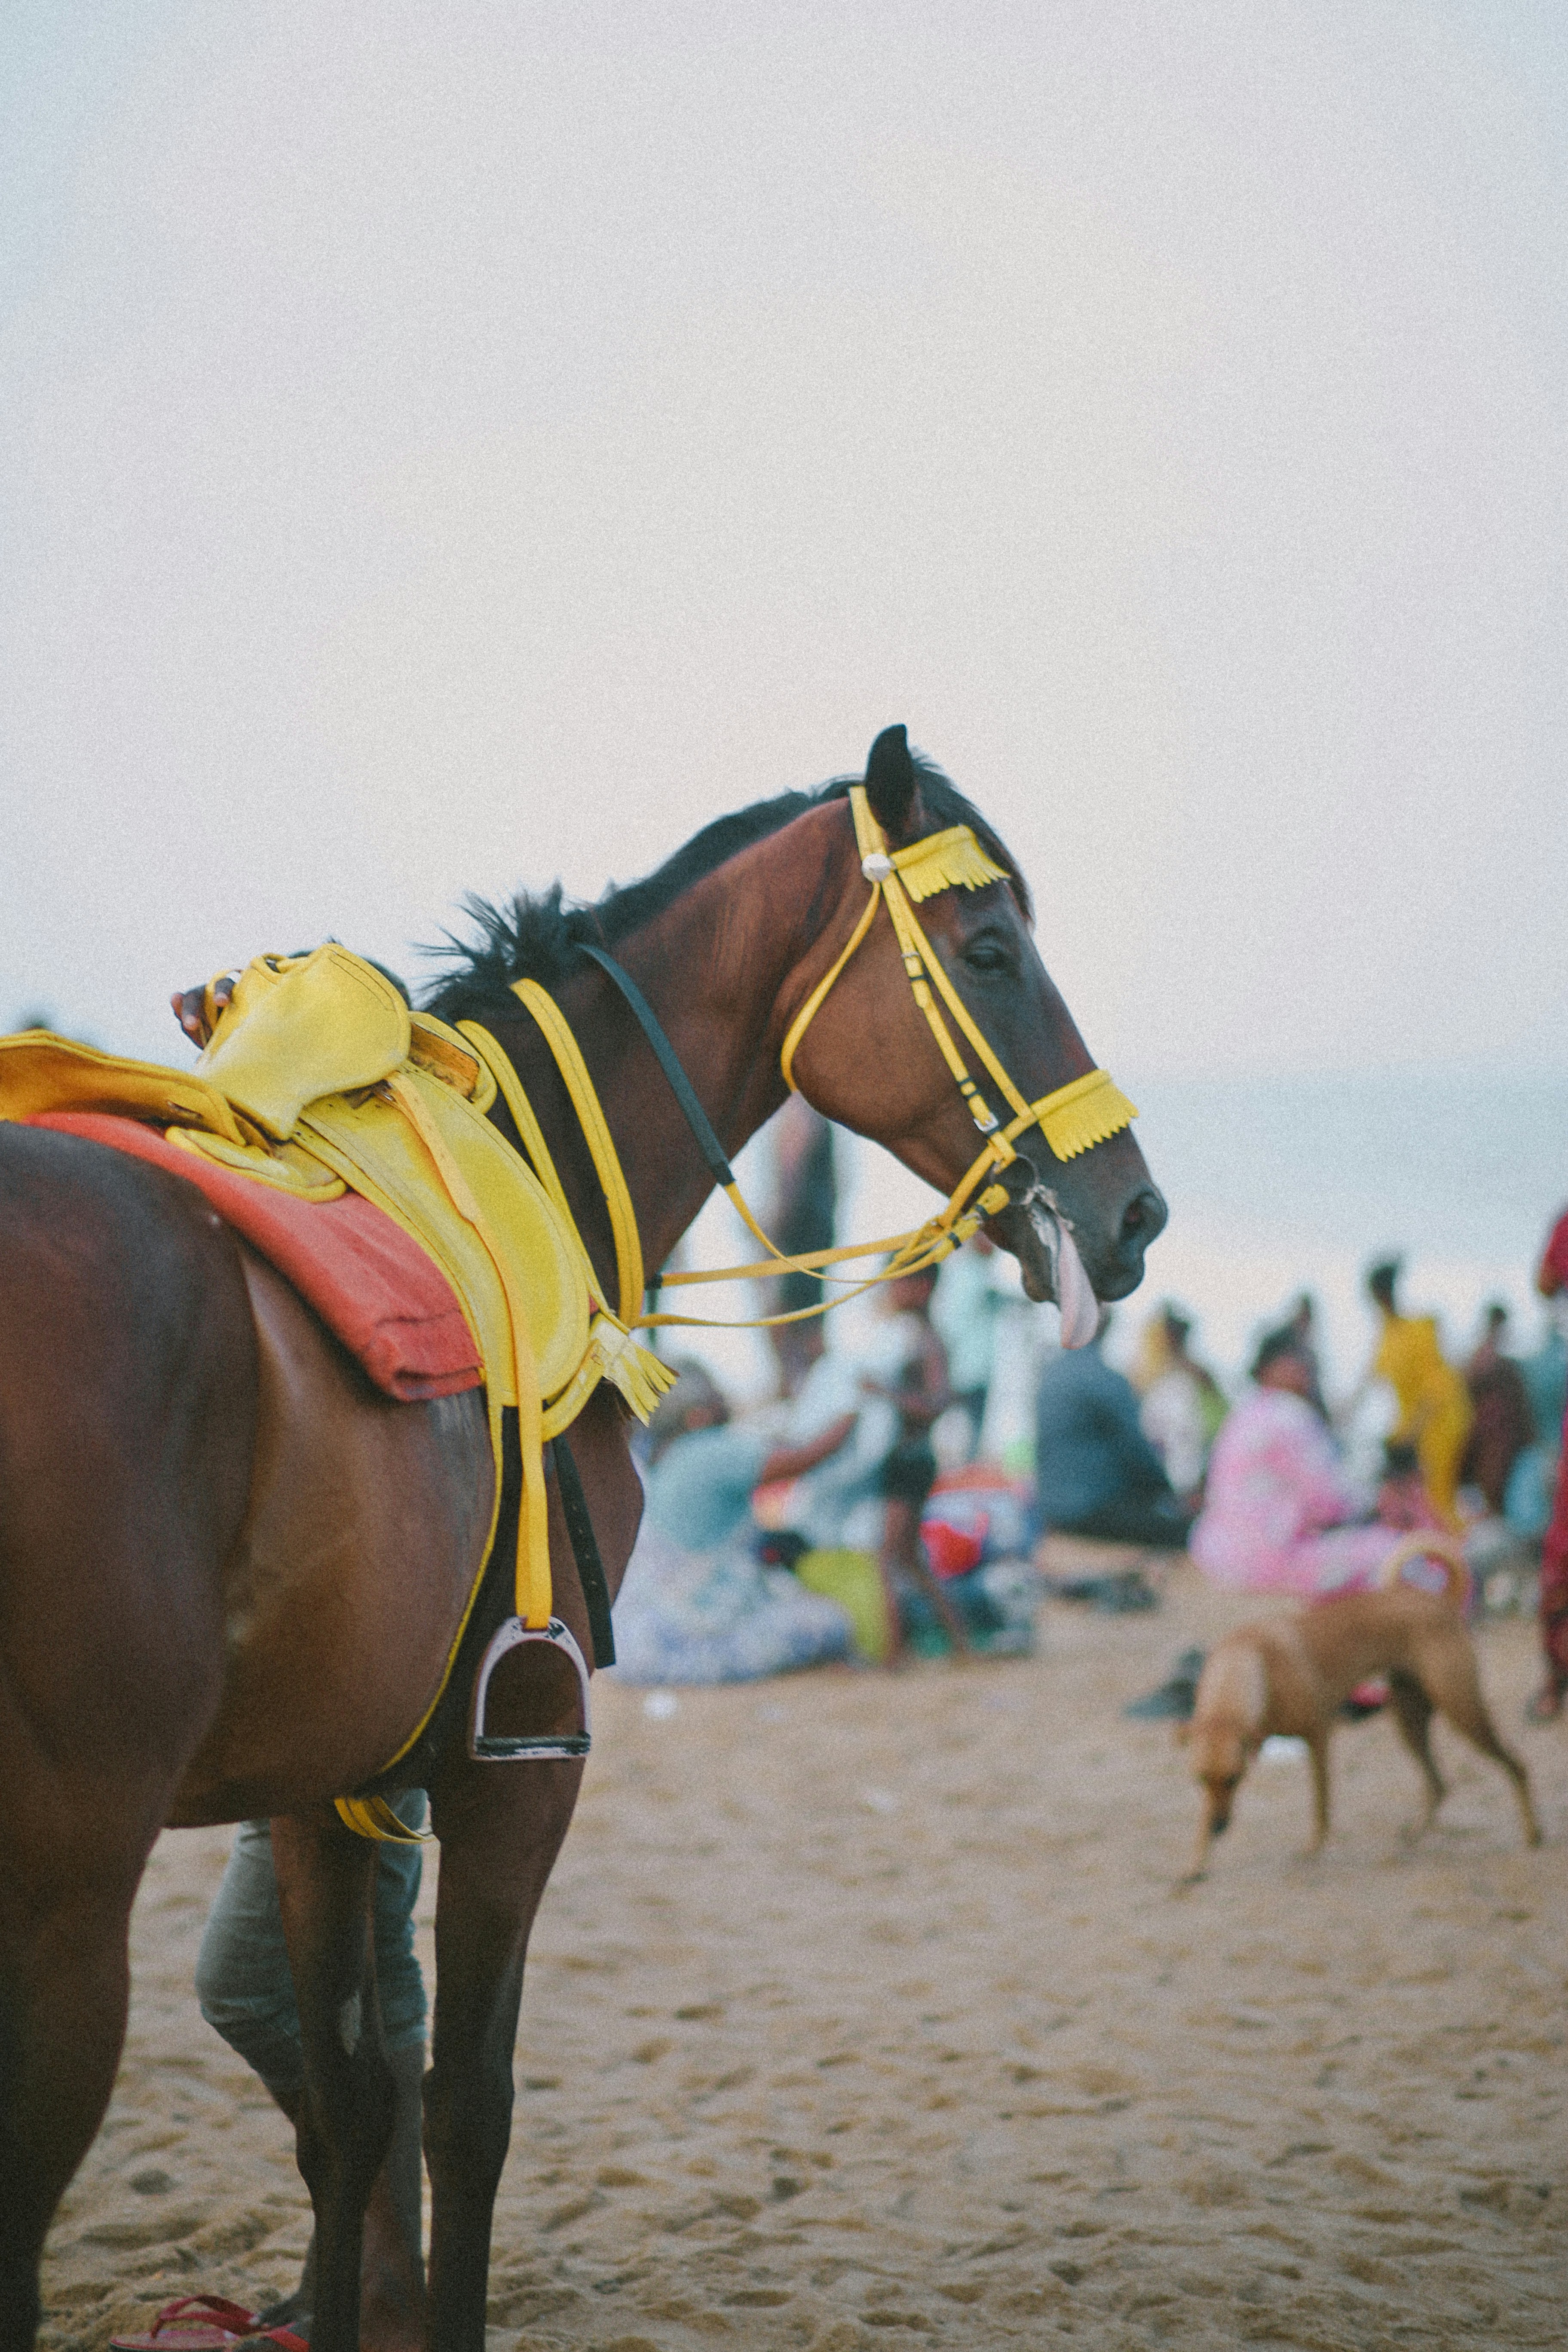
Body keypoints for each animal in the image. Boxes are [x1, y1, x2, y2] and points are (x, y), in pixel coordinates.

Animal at [0, 729, 1165, 2352]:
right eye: (989, 950)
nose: (1136, 1211)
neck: (529, 1168)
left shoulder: (323, 1784)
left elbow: (352, 2115)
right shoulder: (520, 1756)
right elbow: (464, 2108)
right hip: (65, 1898)